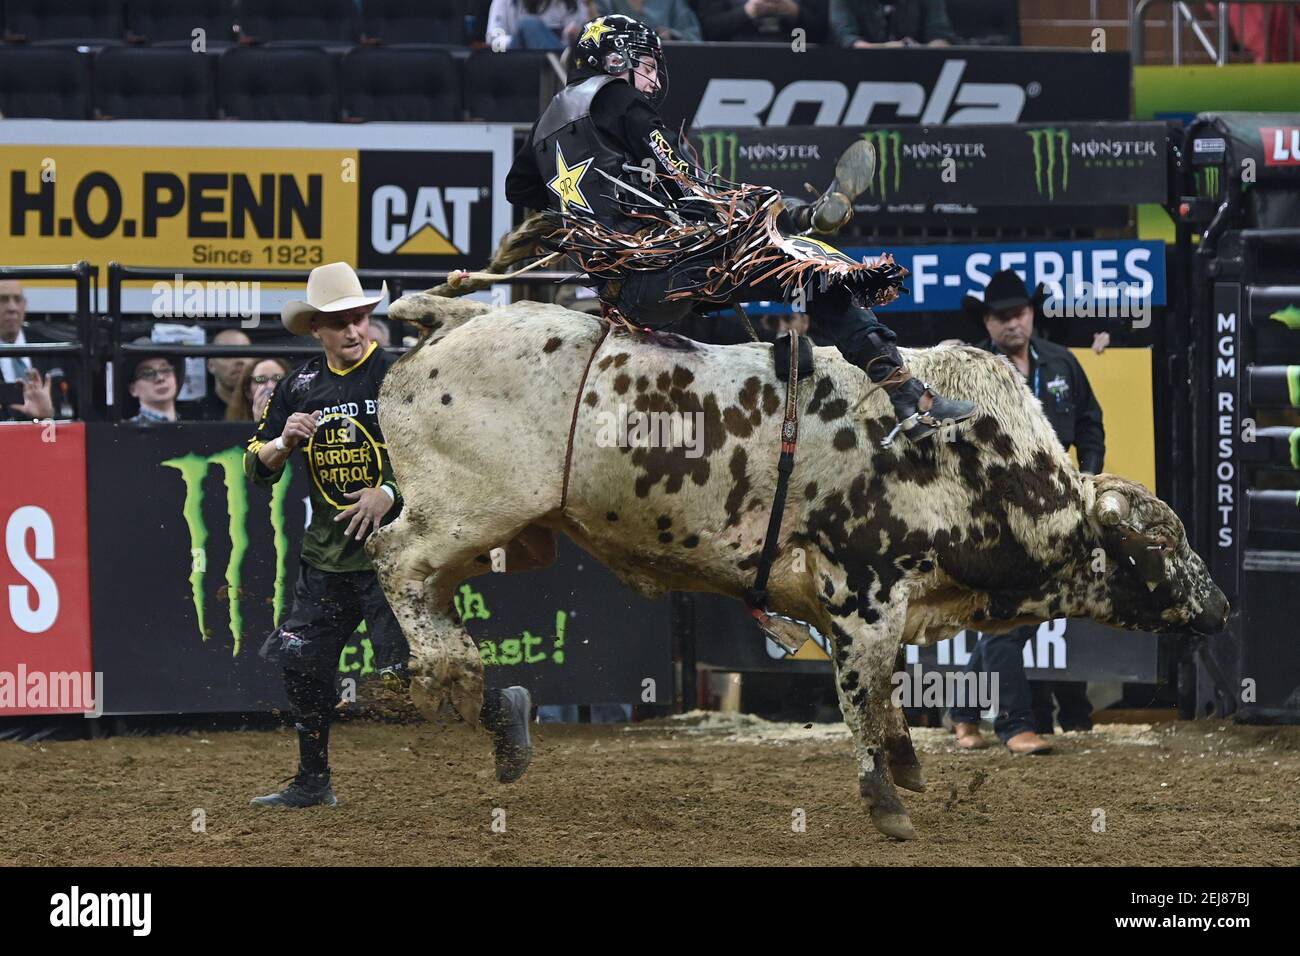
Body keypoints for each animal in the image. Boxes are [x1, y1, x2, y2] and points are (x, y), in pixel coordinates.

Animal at [367, 295, 1229, 840]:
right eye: (1159, 542)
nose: (1220, 608)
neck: (976, 462)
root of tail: (455, 319)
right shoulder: (864, 595)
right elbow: (862, 697)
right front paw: (886, 801)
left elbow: (882, 695)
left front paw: (906, 763)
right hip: (467, 510)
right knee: (395, 559)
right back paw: (447, 678)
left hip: (504, 532)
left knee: (435, 594)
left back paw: (488, 707)